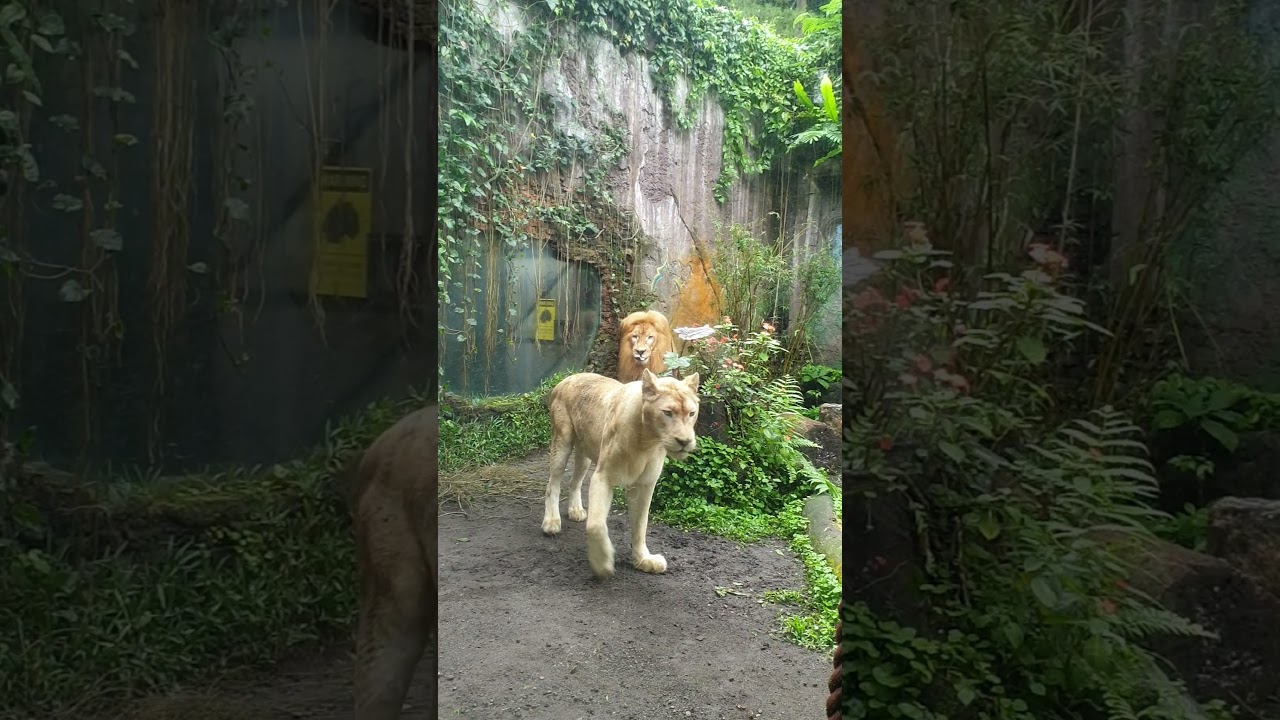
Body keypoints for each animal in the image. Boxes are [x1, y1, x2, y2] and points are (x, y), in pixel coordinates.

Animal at [542, 369, 700, 577]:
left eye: (692, 413)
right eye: (667, 413)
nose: (685, 441)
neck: (645, 442)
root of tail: (569, 377)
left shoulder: (644, 485)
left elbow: (640, 525)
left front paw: (643, 560)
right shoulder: (602, 477)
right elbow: (596, 525)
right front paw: (603, 563)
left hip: (585, 451)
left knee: (574, 482)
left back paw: (575, 510)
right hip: (562, 442)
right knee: (553, 484)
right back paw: (551, 522)